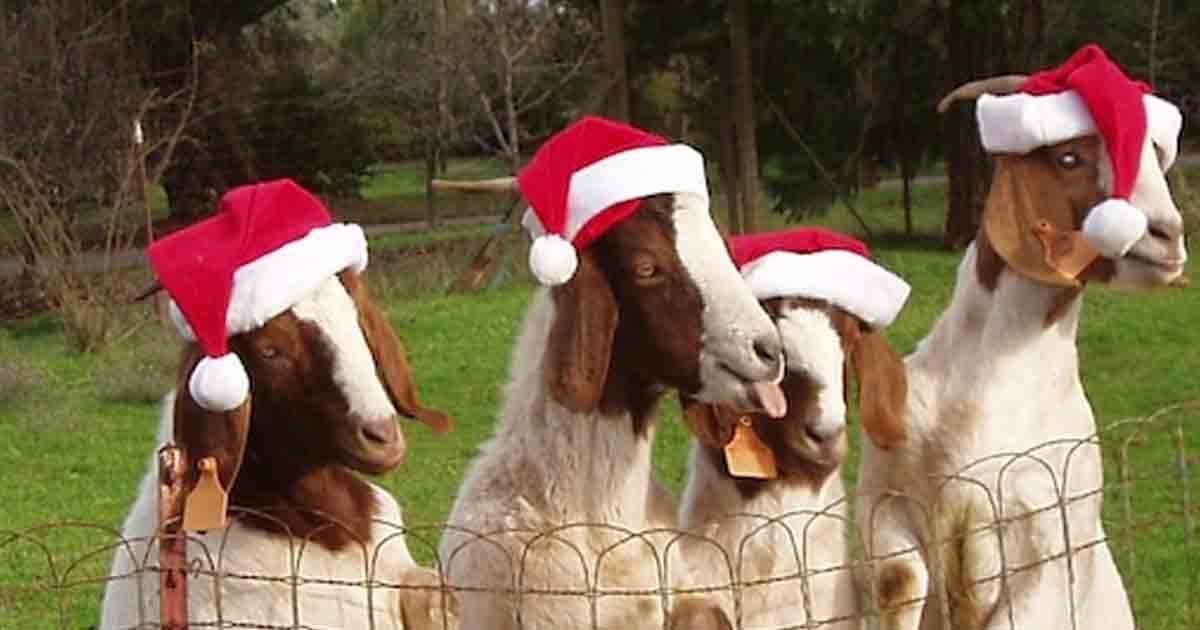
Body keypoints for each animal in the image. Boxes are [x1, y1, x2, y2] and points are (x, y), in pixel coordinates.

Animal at [857, 60, 1187, 630]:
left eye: (1155, 154)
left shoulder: (1046, 546)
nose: (1169, 236)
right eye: (1068, 157)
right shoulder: (885, 500)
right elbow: (900, 583)